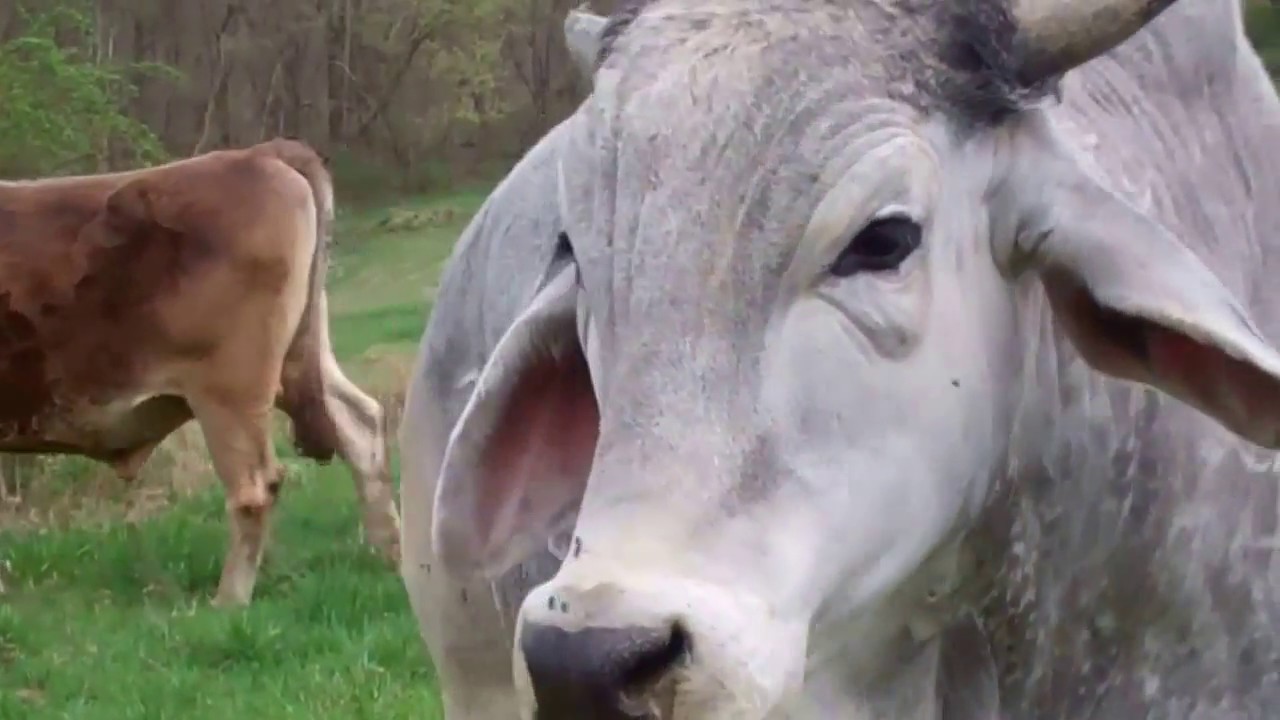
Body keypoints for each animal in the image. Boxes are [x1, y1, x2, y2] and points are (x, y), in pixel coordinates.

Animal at [0, 138, 401, 607]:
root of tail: (261, 153)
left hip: (231, 388)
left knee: (256, 487)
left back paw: (228, 602)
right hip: (295, 364)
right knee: (360, 425)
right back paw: (390, 557)